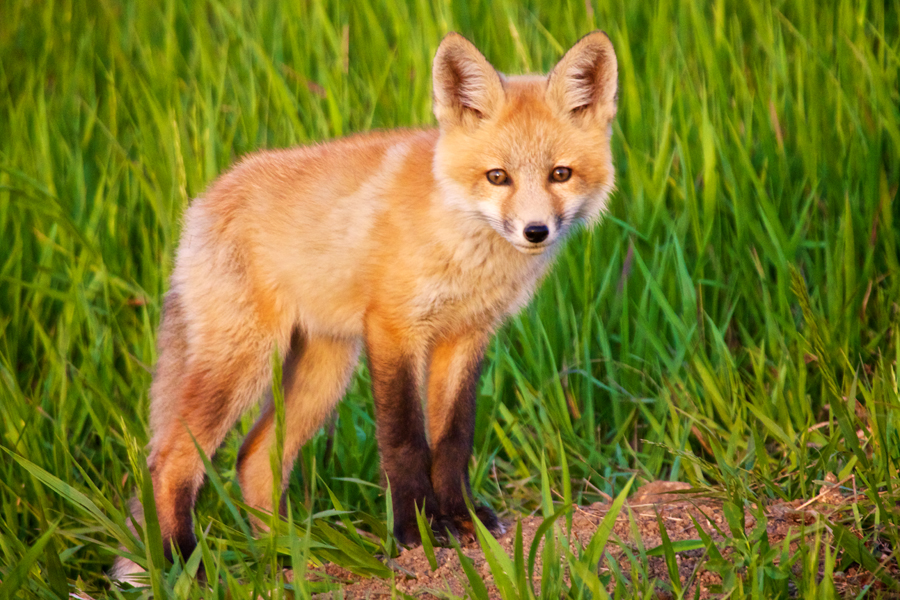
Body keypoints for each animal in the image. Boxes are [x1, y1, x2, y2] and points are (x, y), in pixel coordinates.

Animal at [112, 30, 618, 578]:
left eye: (560, 174)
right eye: (497, 177)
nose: (535, 231)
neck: (463, 245)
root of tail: (202, 202)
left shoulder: (466, 335)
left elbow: (453, 440)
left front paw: (462, 518)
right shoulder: (393, 329)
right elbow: (404, 440)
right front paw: (416, 531)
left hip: (324, 370)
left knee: (254, 456)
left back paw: (288, 554)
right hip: (243, 364)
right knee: (169, 461)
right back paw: (184, 564)